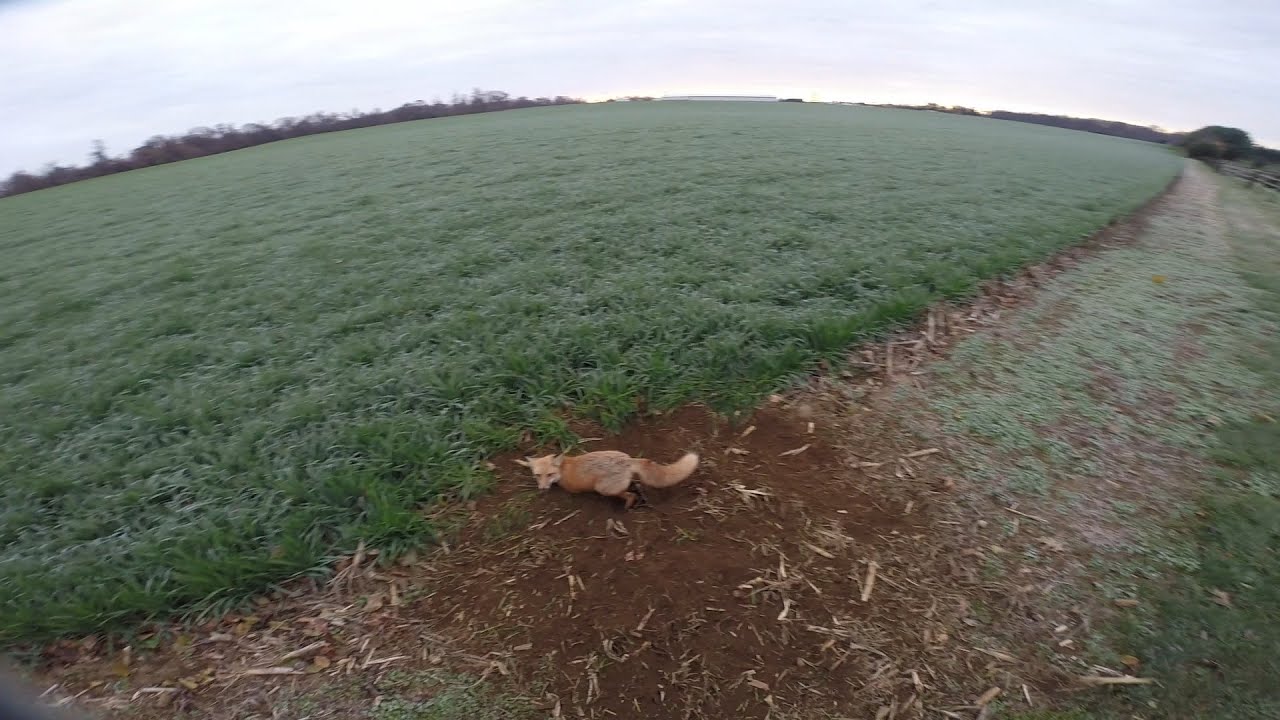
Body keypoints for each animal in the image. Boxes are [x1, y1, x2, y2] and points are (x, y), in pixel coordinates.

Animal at [516, 450, 700, 509]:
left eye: (549, 475)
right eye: (537, 475)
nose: (541, 489)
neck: (564, 468)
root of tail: (627, 459)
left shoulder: (573, 487)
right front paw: (522, 462)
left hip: (603, 489)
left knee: (629, 494)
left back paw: (627, 506)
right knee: (635, 486)